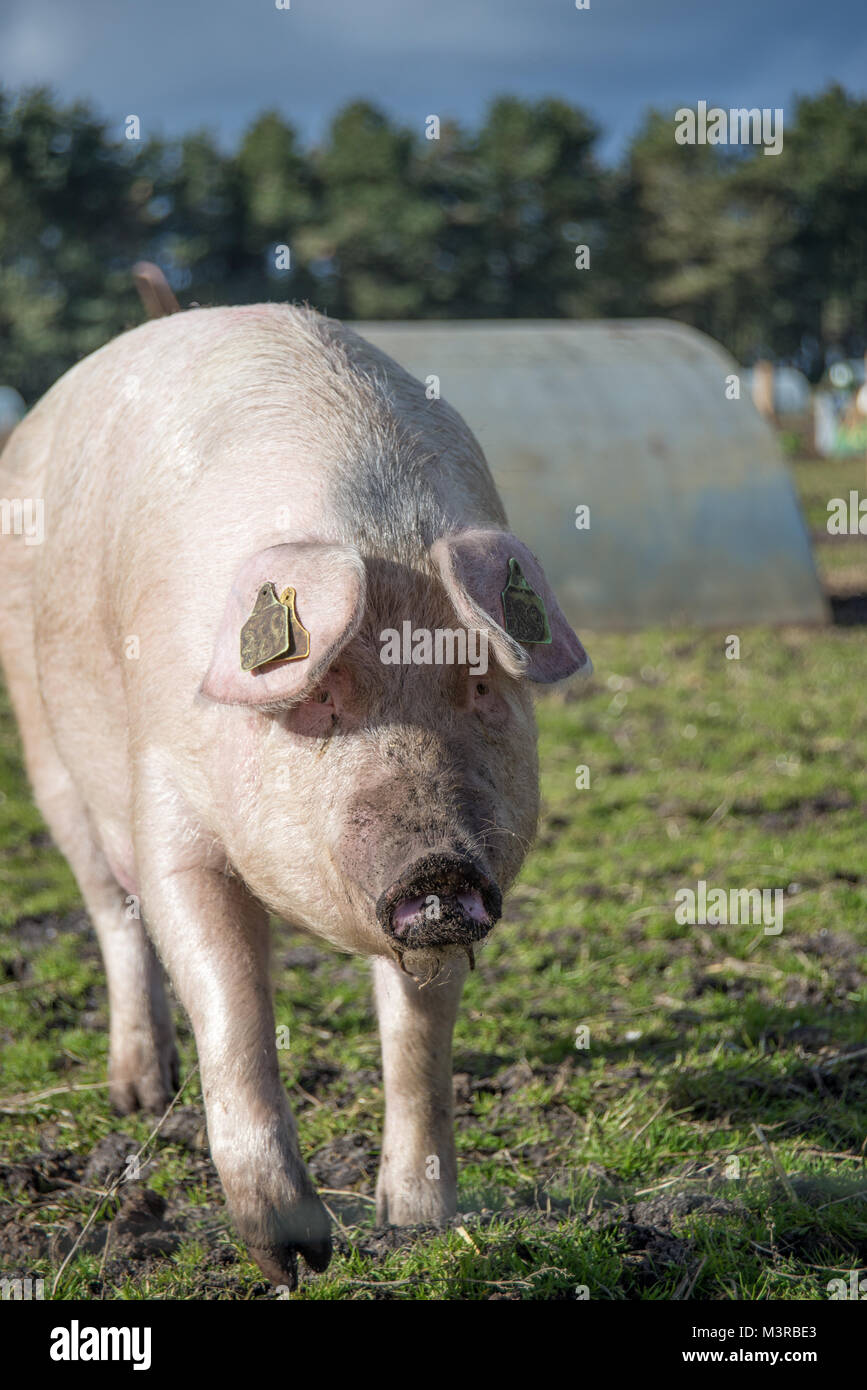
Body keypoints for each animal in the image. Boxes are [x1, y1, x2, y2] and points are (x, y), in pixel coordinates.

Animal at [0, 299, 590, 1287]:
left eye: (477, 684)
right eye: (318, 698)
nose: (434, 865)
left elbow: (417, 1035)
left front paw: (419, 1224)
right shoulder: (168, 800)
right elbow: (232, 1004)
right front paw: (295, 1258)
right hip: (45, 744)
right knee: (111, 909)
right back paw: (137, 1095)